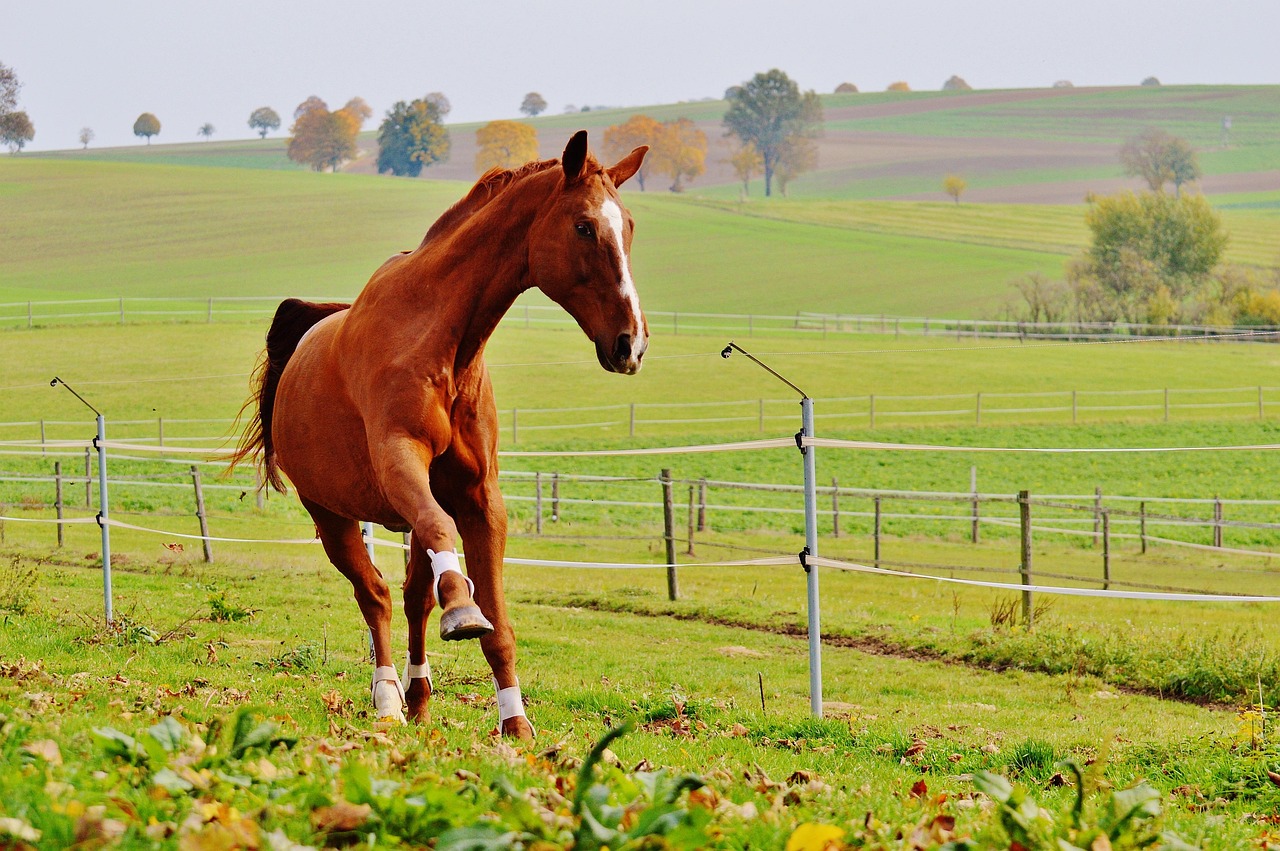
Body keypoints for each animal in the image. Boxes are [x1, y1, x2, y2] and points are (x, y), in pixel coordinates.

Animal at [229, 131, 649, 738]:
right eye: (584, 227)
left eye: (630, 226)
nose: (630, 344)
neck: (438, 337)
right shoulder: (400, 463)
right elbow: (441, 547)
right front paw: (462, 611)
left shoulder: (479, 498)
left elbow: (496, 625)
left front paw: (515, 724)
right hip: (330, 516)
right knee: (375, 595)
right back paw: (387, 697)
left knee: (410, 600)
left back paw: (421, 696)